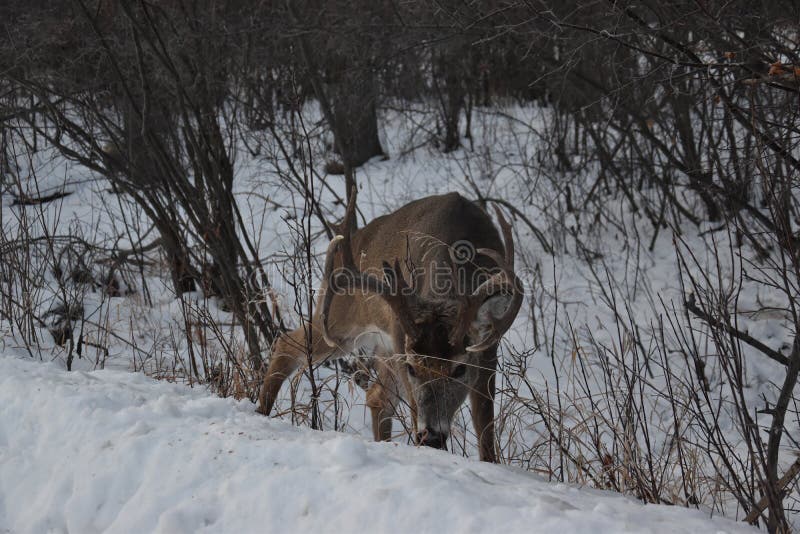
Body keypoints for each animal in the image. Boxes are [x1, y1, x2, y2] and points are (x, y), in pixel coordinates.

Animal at [257, 190, 523, 462]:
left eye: (460, 369)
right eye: (412, 368)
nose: (431, 437)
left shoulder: (488, 346)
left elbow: (485, 426)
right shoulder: (400, 343)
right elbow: (416, 410)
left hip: (379, 344)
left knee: (376, 396)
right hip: (341, 322)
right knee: (287, 342)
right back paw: (260, 411)